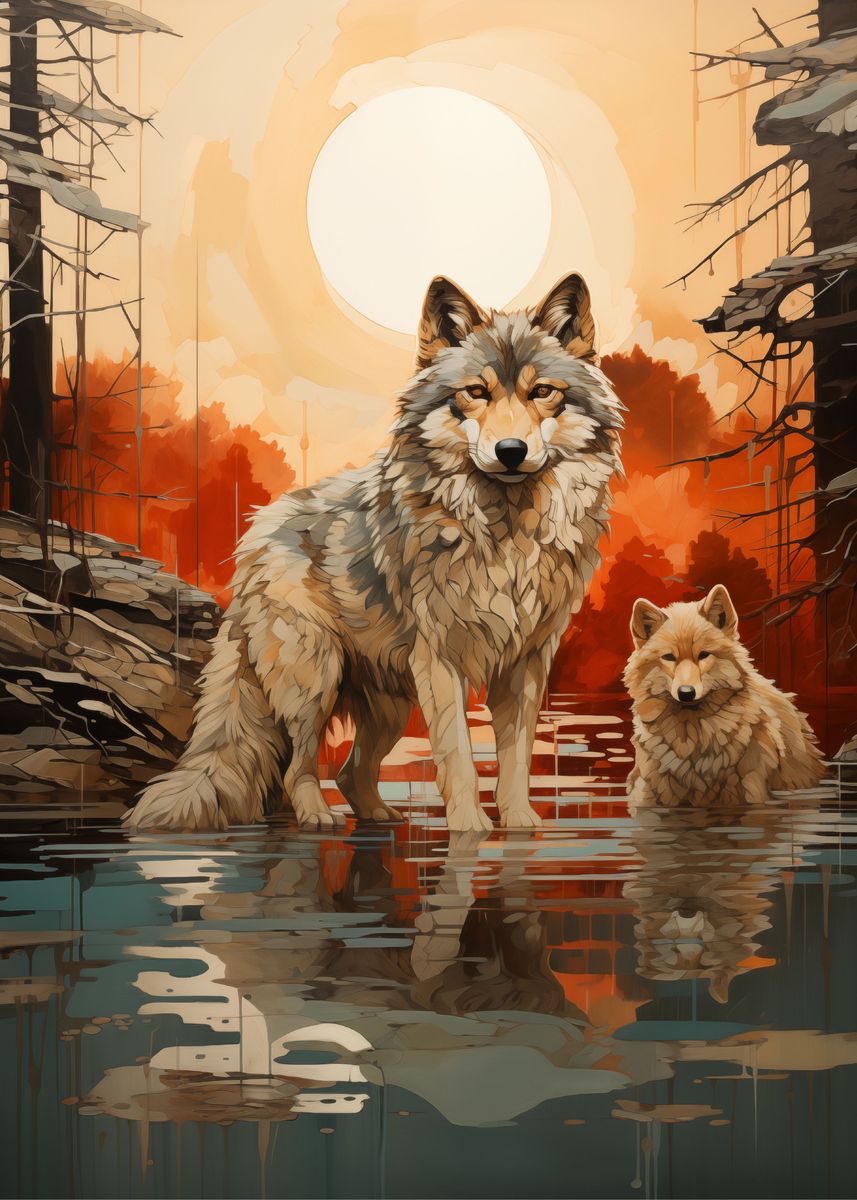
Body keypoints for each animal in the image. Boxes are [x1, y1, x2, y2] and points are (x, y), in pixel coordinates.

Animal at [126, 273, 622, 833]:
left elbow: (514, 760)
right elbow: (458, 756)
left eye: (542, 392)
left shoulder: (526, 664)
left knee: (350, 771)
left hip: (389, 706)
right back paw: (318, 819)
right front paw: (469, 830)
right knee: (298, 767)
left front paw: (518, 825)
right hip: (314, 680)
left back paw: (382, 818)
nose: (511, 452)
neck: (506, 532)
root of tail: (255, 533)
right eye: (475, 393)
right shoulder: (440, 661)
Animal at [624, 585, 824, 808]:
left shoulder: (751, 790)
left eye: (704, 655)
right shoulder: (649, 791)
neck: (692, 742)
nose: (686, 693)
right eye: (668, 657)